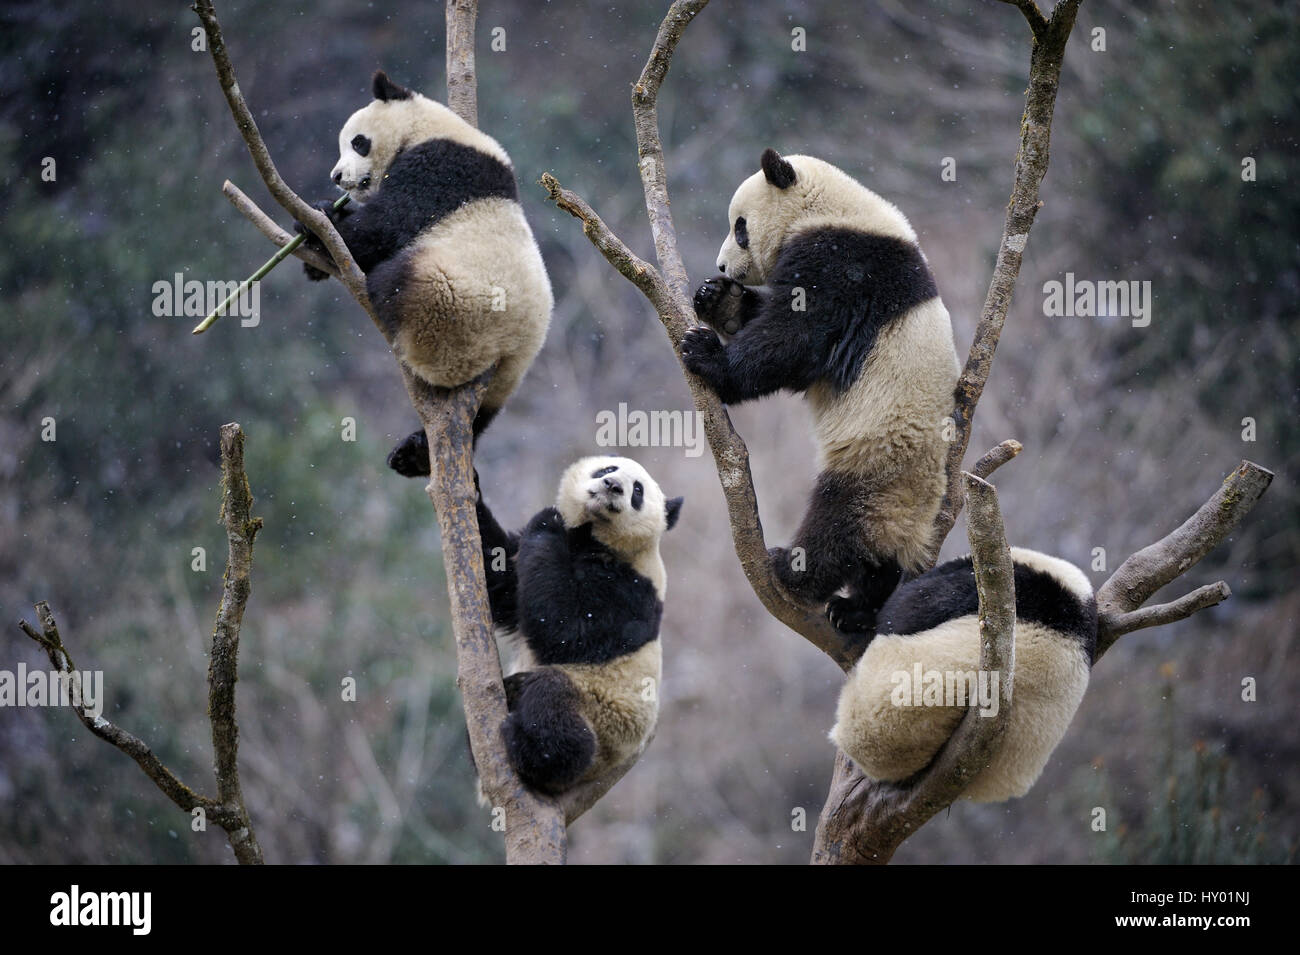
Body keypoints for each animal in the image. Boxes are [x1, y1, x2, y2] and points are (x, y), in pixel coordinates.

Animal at [298, 70, 553, 475]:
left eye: (358, 142)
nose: (337, 176)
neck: (428, 127)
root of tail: (505, 351)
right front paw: (316, 254)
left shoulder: (439, 168)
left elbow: (387, 226)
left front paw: (319, 222)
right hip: (505, 379)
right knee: (481, 419)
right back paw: (414, 453)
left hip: (453, 306)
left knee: (398, 279)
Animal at [474, 455, 683, 796]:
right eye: (607, 470)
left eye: (638, 491)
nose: (612, 486)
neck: (592, 536)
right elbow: (502, 580)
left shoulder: (633, 590)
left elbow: (569, 633)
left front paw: (548, 521)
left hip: (603, 715)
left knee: (554, 700)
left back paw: (532, 751)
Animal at [682, 149, 960, 634]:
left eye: (740, 227)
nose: (720, 266)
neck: (831, 209)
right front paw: (720, 300)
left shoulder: (844, 265)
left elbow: (796, 339)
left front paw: (708, 356)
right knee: (878, 565)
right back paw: (859, 610)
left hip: (879, 460)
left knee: (838, 524)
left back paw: (792, 571)